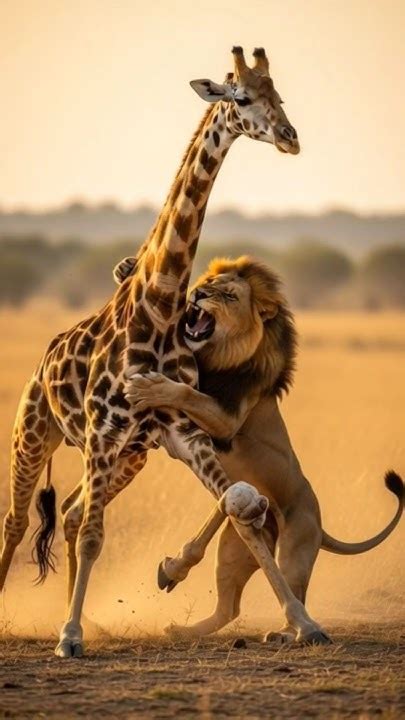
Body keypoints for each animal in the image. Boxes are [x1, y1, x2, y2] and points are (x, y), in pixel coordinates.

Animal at [0, 46, 318, 658]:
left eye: (280, 96)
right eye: (240, 96)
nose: (290, 138)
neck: (161, 306)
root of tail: (40, 366)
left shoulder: (182, 433)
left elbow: (244, 516)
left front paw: (304, 621)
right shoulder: (104, 434)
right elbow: (95, 535)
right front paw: (68, 638)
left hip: (128, 458)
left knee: (70, 514)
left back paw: (78, 615)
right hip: (35, 435)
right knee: (19, 520)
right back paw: (52, 618)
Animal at [117, 254, 404, 643]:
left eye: (229, 296)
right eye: (208, 284)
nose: (199, 293)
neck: (215, 357)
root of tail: (320, 522)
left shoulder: (228, 418)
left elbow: (186, 392)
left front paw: (151, 388)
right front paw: (127, 270)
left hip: (295, 548)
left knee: (291, 589)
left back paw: (287, 633)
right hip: (232, 551)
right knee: (228, 609)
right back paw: (182, 628)